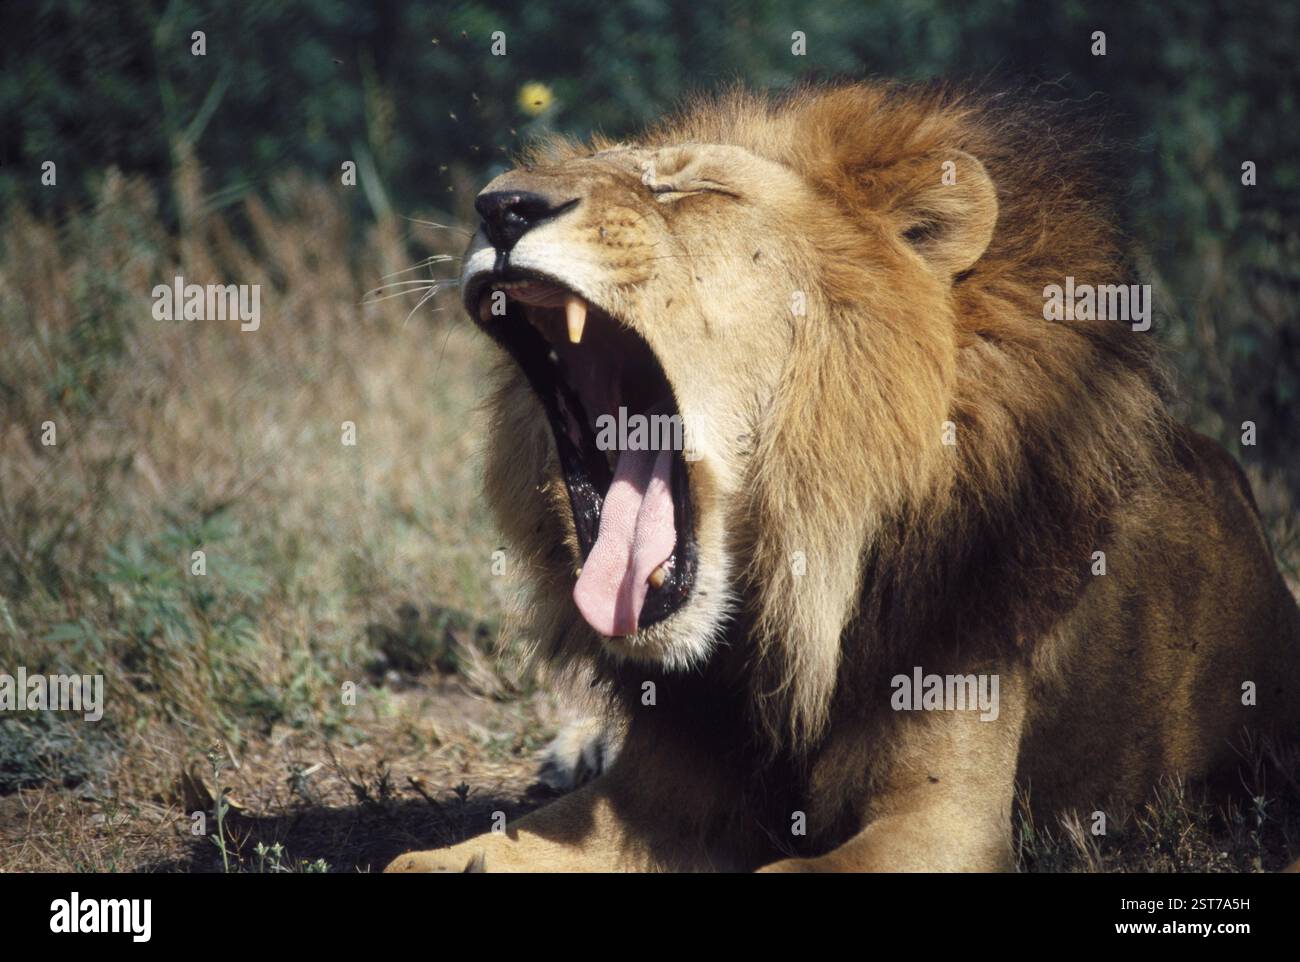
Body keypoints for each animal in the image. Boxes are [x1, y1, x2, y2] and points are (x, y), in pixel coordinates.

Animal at [386, 82, 1300, 872]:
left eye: (693, 190)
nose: (500, 206)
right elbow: (426, 858)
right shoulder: (646, 800)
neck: (781, 614)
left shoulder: (945, 825)